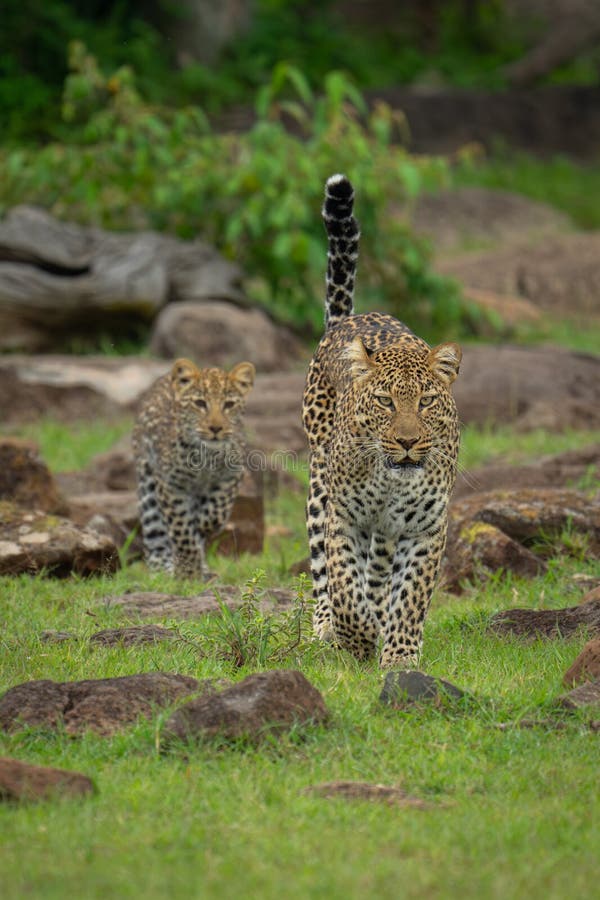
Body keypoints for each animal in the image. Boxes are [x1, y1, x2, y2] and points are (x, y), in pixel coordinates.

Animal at [132, 357, 255, 578]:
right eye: (200, 403)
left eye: (229, 405)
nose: (215, 428)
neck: (207, 456)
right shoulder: (171, 485)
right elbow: (181, 530)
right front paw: (188, 572)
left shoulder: (231, 478)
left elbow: (215, 513)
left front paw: (203, 525)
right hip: (147, 481)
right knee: (155, 533)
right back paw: (163, 570)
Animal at [302, 174, 462, 669]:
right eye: (385, 402)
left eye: (426, 401)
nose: (408, 442)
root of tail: (347, 320)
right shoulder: (344, 520)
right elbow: (343, 586)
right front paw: (355, 636)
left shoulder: (426, 528)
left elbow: (410, 596)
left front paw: (400, 657)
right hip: (318, 488)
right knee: (324, 575)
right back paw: (326, 629)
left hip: (388, 531)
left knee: (377, 570)